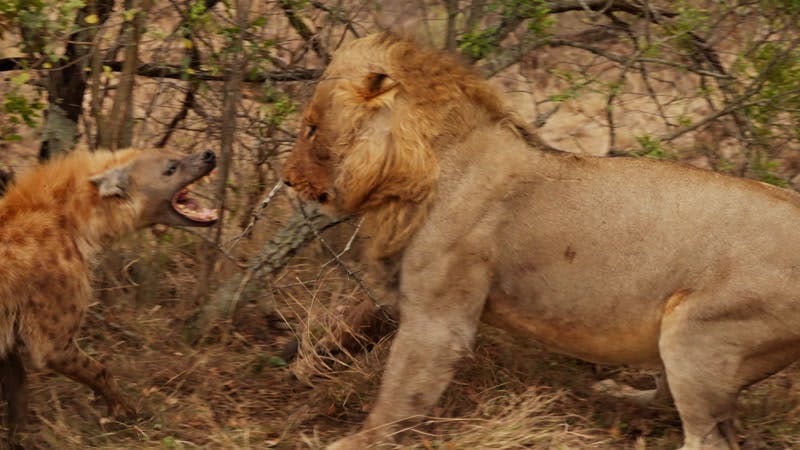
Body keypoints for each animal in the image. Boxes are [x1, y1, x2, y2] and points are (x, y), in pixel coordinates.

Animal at [282, 33, 800, 450]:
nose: (286, 180)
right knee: (667, 398)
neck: (414, 173)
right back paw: (620, 394)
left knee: (707, 438)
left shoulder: (439, 316)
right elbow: (350, 324)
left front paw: (356, 441)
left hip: (697, 332)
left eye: (311, 128)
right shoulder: (403, 283)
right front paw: (303, 367)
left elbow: (401, 388)